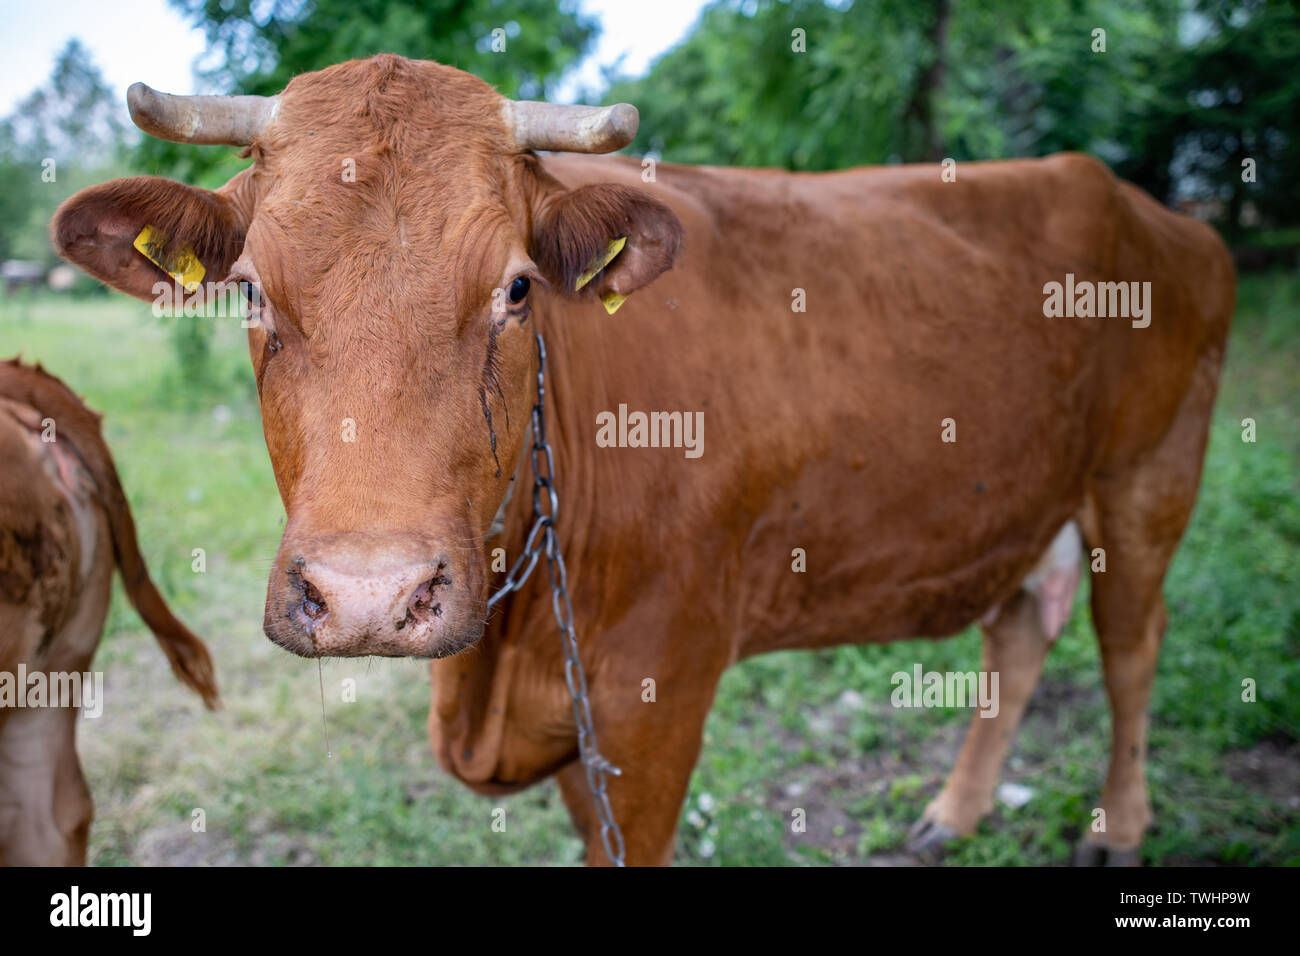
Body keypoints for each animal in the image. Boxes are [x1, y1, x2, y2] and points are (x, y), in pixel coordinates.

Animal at [50, 54, 1234, 866]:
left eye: (517, 286)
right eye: (250, 287)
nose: (369, 595)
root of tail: (1150, 207)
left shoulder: (657, 703)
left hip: (1147, 482)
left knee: (1131, 645)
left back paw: (1120, 826)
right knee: (1019, 629)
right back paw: (953, 812)